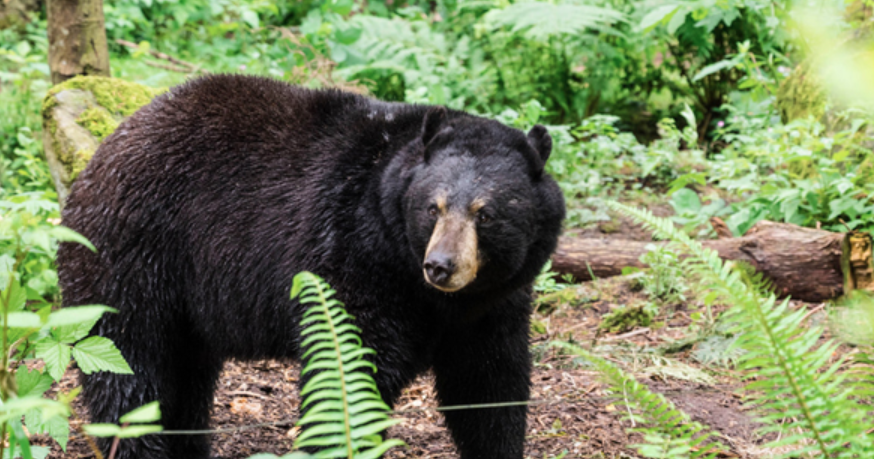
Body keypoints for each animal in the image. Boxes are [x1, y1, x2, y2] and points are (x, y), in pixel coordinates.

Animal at [57, 74, 566, 459]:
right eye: (432, 207)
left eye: (485, 213)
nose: (440, 266)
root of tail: (98, 156)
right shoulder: (354, 256)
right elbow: (354, 367)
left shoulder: (493, 307)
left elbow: (489, 385)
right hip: (134, 258)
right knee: (129, 367)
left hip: (186, 303)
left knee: (186, 376)